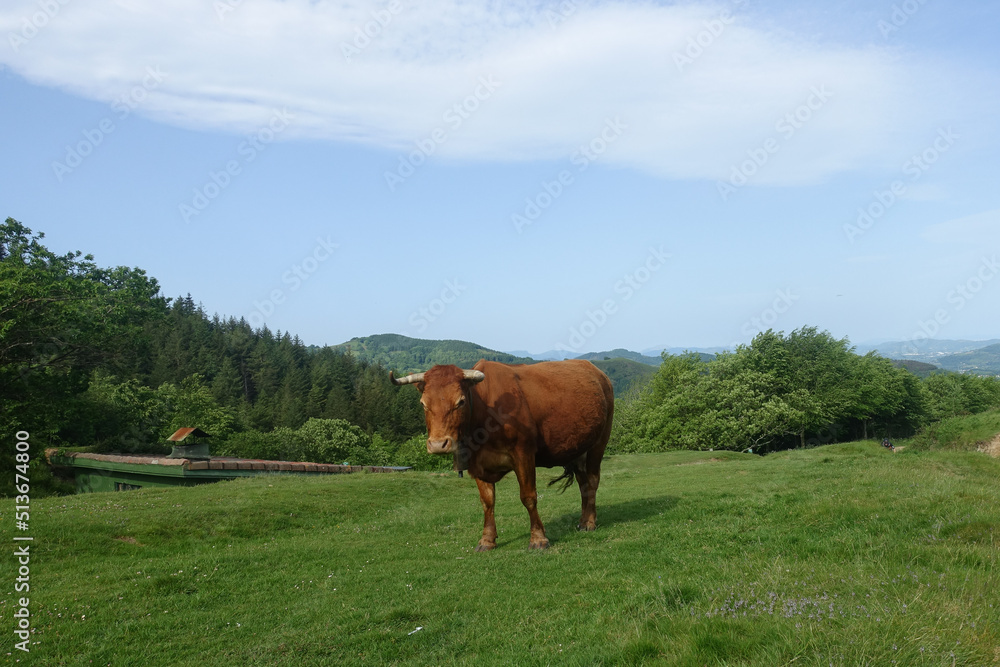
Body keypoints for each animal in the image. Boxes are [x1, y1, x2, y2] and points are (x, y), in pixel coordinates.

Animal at [391, 359, 614, 550]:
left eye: (460, 401)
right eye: (423, 403)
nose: (438, 444)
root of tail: (598, 373)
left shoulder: (524, 454)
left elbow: (528, 497)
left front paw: (538, 539)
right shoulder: (477, 464)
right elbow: (487, 501)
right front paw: (487, 540)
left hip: (599, 442)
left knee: (592, 480)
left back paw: (590, 522)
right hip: (579, 447)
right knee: (583, 483)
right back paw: (582, 520)